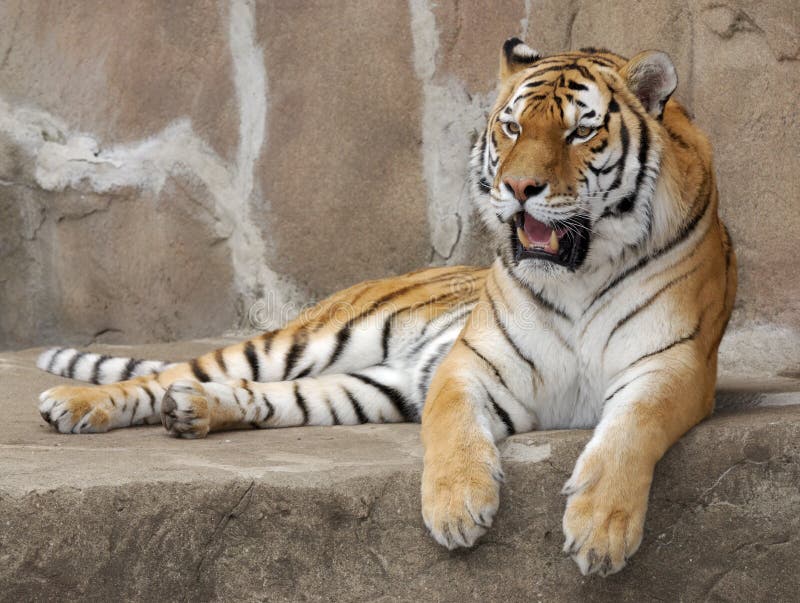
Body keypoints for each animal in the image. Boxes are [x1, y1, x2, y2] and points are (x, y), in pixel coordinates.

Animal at [35, 39, 736, 577]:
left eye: (581, 130)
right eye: (512, 127)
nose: (517, 188)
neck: (579, 276)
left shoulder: (673, 367)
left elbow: (629, 433)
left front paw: (599, 531)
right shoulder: (471, 363)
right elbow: (453, 427)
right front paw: (457, 508)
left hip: (372, 387)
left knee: (267, 397)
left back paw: (197, 412)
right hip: (306, 341)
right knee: (175, 373)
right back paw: (74, 405)